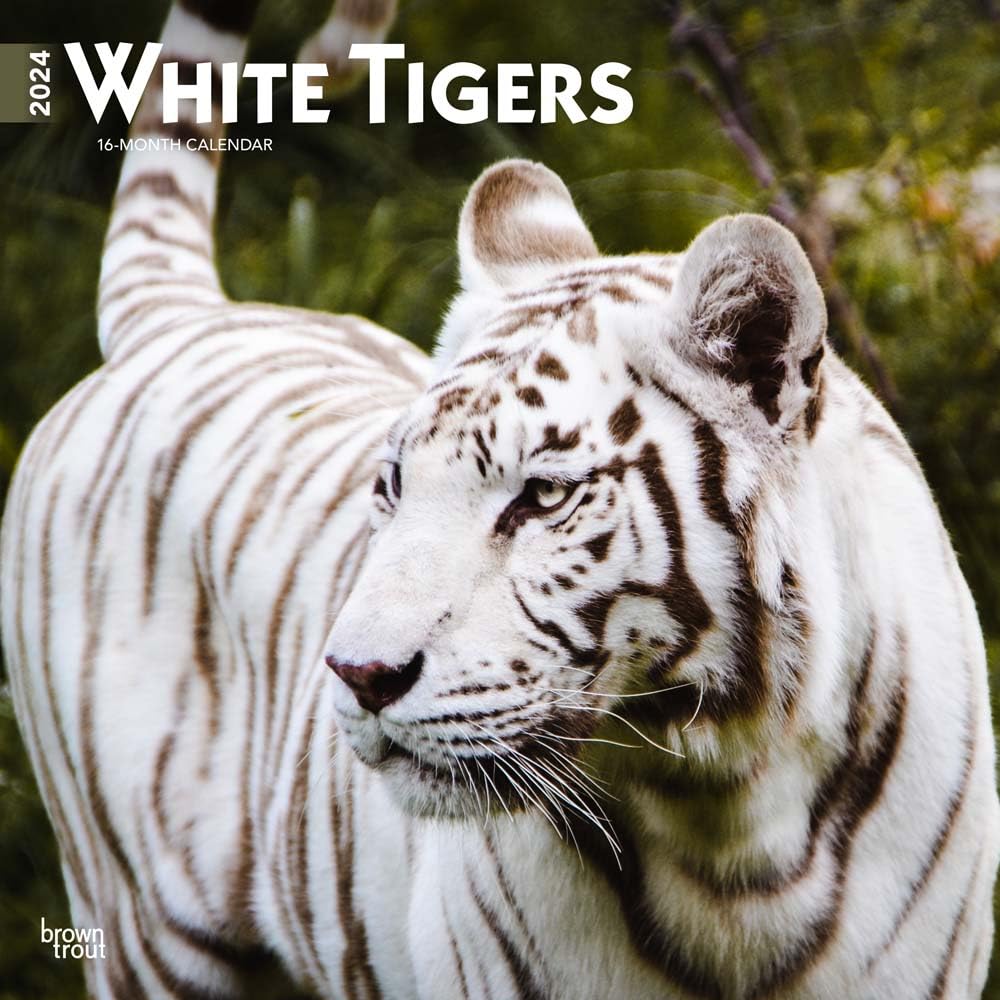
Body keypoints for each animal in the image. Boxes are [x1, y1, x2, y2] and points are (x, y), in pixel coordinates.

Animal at [1, 0, 997, 996]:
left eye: (543, 496)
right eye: (392, 485)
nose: (359, 676)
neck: (732, 828)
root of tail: (186, 316)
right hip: (140, 931)